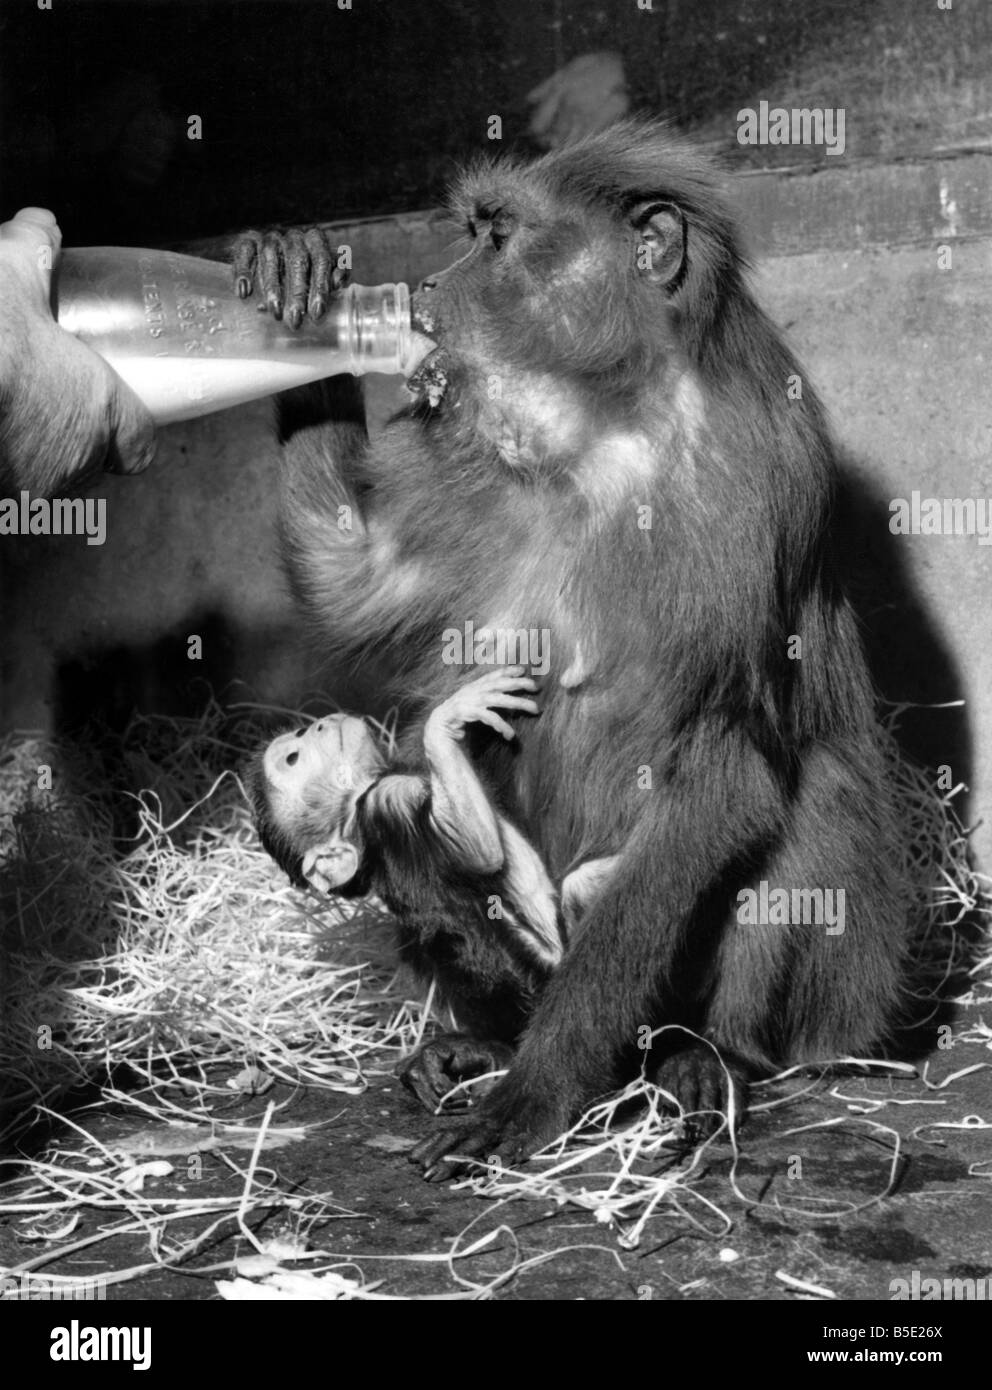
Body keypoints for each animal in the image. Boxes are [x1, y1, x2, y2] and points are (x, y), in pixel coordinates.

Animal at [245, 665, 619, 1109]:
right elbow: (480, 850)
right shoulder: (392, 798)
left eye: (299, 744)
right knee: (585, 887)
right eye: (293, 758)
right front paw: (445, 723)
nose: (316, 725)